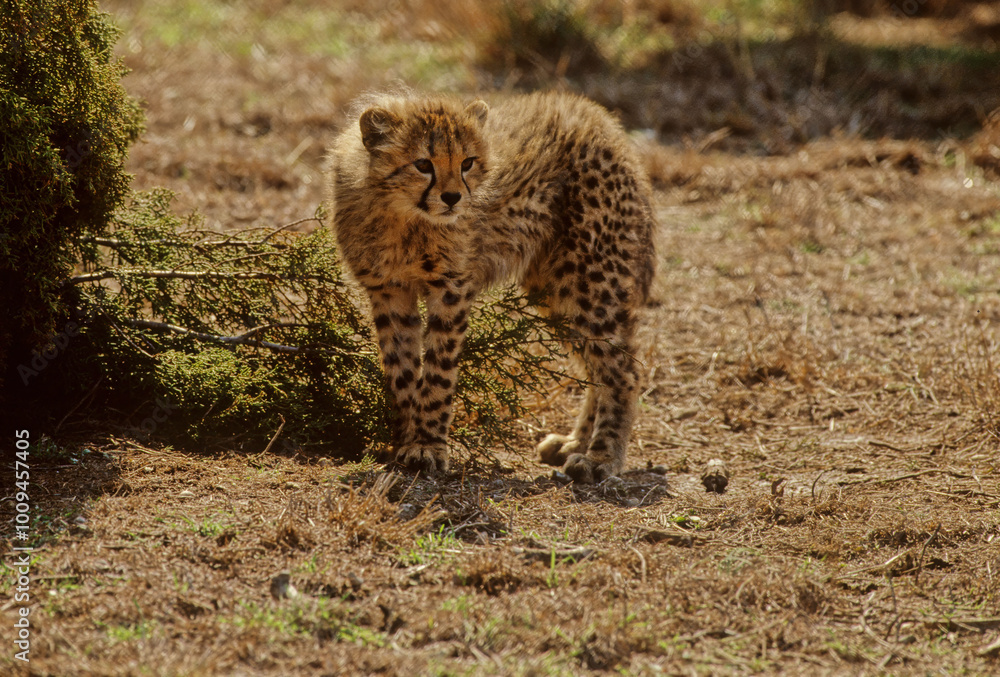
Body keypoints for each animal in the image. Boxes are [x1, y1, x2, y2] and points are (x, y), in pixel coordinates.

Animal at [327, 90, 655, 483]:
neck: (404, 216)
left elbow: (438, 374)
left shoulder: (450, 289)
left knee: (625, 369)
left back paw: (601, 457)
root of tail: (601, 119)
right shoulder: (389, 291)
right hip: (556, 290)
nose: (452, 197)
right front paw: (405, 440)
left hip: (590, 277)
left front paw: (428, 446)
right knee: (597, 366)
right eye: (422, 164)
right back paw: (575, 443)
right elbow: (401, 371)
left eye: (467, 162)